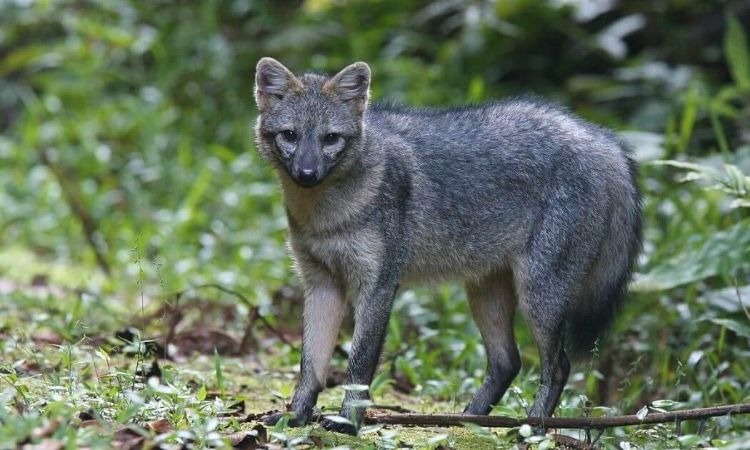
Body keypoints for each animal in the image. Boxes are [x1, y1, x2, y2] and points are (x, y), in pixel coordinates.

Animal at [253, 57, 642, 435]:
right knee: (508, 362)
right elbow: (310, 365)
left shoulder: (377, 286)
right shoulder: (321, 283)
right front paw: (295, 417)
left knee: (558, 366)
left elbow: (359, 363)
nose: (307, 174)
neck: (327, 216)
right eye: (290, 135)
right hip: (486, 294)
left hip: (539, 298)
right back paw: (470, 420)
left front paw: (348, 423)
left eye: (330, 138)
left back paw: (531, 429)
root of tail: (599, 136)